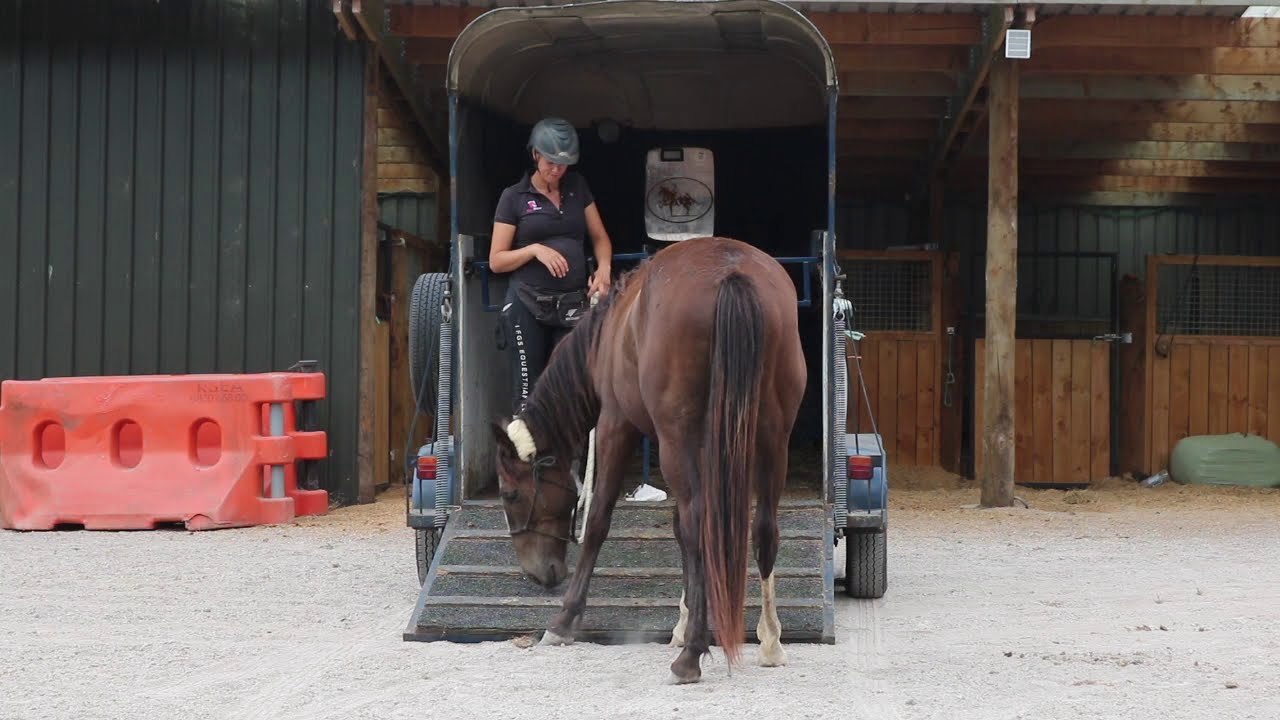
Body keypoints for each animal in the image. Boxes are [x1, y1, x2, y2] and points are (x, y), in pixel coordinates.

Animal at [489, 236, 807, 684]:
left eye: (510, 495)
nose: (539, 574)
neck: (608, 332)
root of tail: (732, 270)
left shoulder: (615, 425)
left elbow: (600, 520)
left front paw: (565, 621)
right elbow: (677, 529)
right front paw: (683, 621)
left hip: (681, 439)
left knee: (698, 524)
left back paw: (691, 656)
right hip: (771, 438)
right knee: (763, 530)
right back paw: (771, 642)